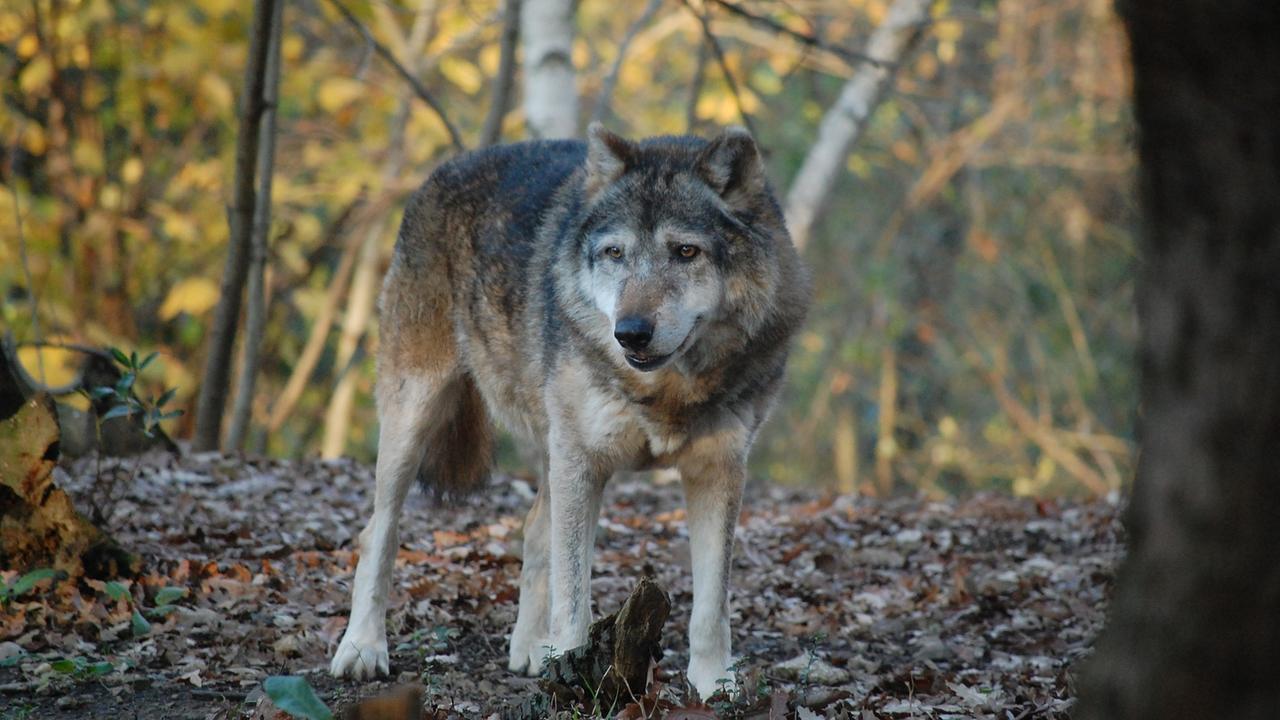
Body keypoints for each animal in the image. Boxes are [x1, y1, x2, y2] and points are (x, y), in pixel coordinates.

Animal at [328, 123, 809, 699]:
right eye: (615, 253)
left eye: (686, 251)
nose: (630, 332)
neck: (665, 390)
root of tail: (446, 169)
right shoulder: (583, 462)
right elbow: (574, 594)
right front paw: (576, 680)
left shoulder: (717, 469)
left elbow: (711, 605)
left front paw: (715, 686)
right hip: (416, 417)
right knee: (378, 533)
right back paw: (361, 648)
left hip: (547, 447)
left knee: (535, 530)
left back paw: (529, 649)